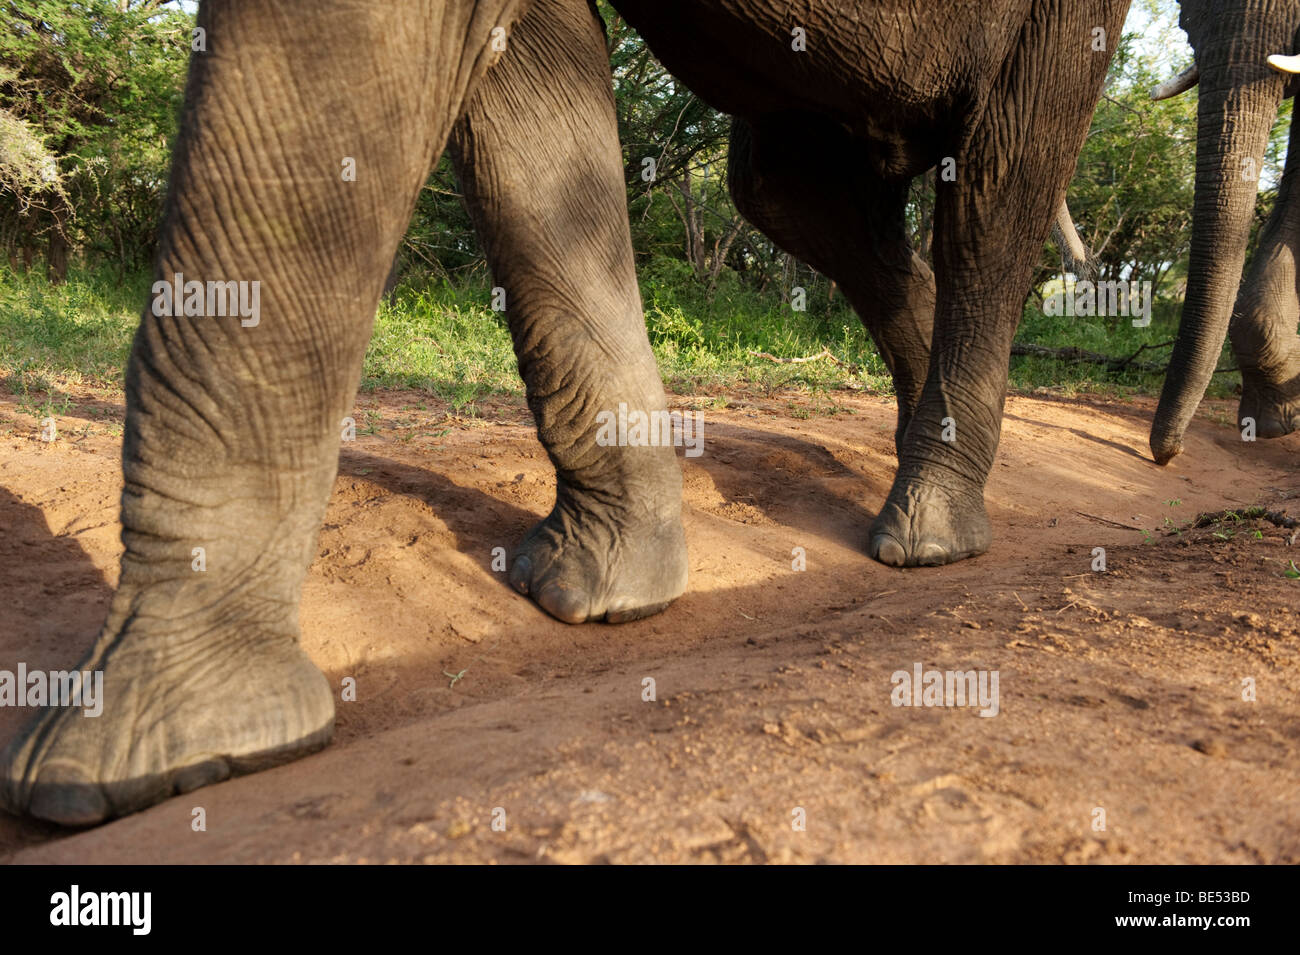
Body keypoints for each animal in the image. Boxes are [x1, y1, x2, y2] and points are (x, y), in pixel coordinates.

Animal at [0, 0, 1129, 825]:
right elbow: (532, 90)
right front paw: (594, 598)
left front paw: (126, 764)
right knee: (797, 190)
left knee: (991, 184)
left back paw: (927, 539)